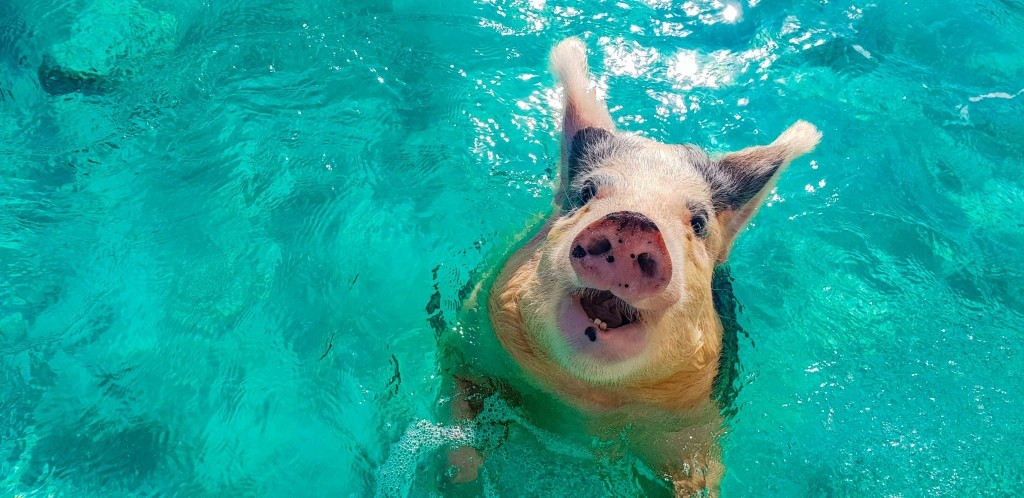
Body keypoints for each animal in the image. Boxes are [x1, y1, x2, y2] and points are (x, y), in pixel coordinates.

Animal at [441, 37, 821, 496]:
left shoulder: (697, 426)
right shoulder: (467, 342)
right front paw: (460, 481)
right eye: (586, 193)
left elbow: (698, 477)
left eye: (698, 222)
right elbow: (458, 424)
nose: (633, 224)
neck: (587, 399)